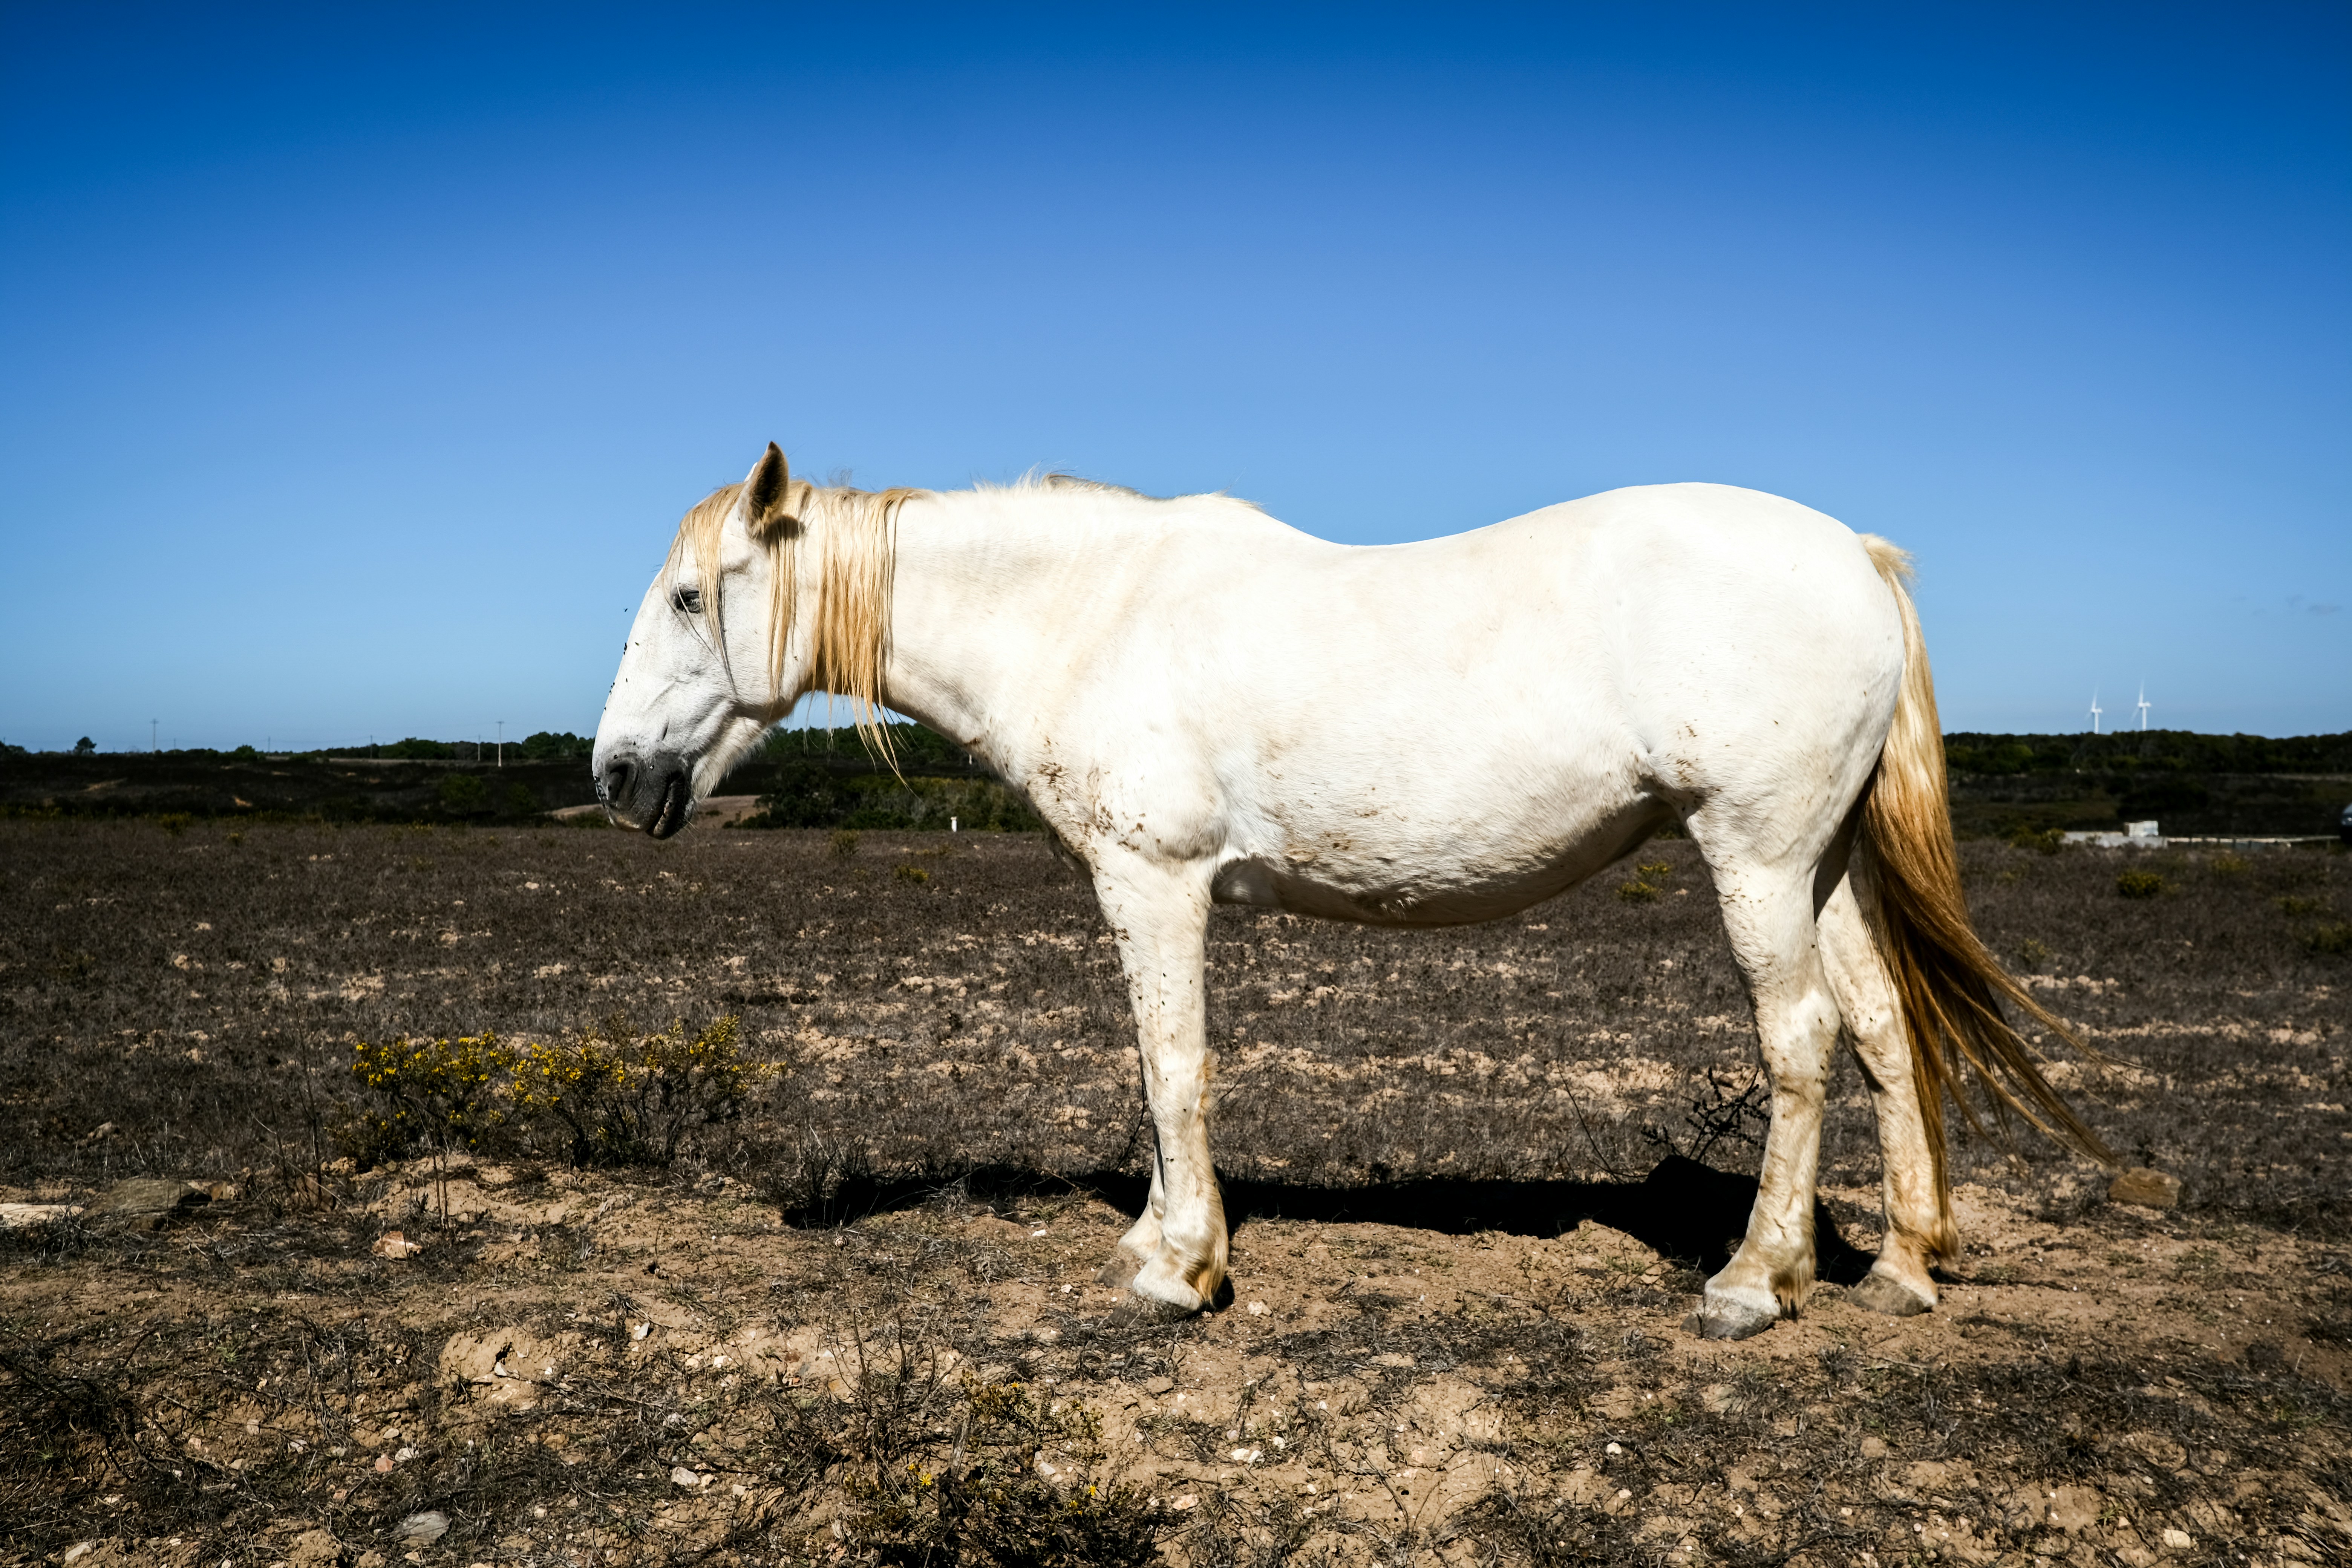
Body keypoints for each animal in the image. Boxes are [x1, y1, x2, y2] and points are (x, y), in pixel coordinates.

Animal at [593, 442, 2110, 1340]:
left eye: (687, 597)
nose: (614, 776)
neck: (1087, 614)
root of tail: (1854, 553)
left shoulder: (1157, 884)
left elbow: (1175, 1065)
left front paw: (1181, 1267)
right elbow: (1148, 1068)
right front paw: (1153, 1238)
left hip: (1755, 856)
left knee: (1799, 1041)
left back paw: (1752, 1282)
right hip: (1824, 863)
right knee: (1882, 1033)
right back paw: (1905, 1264)